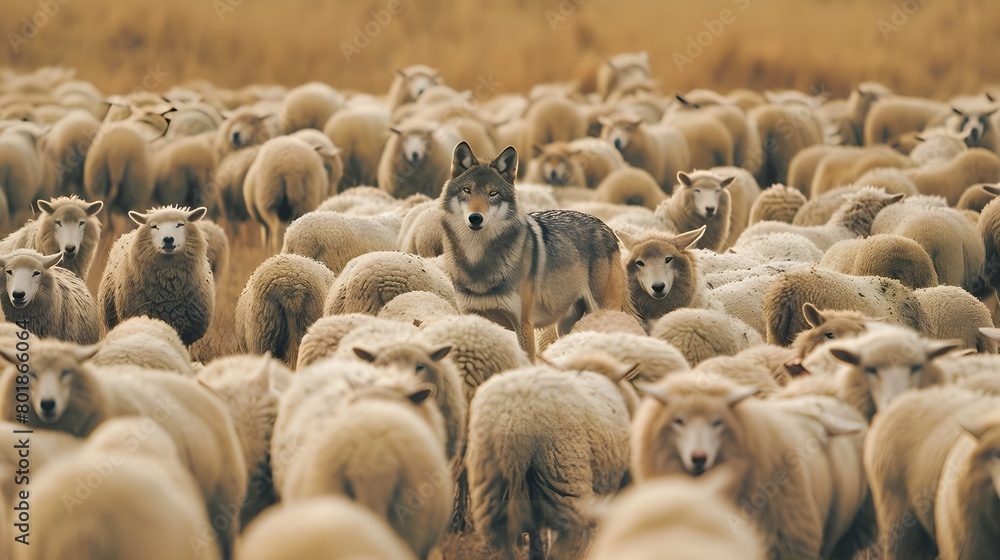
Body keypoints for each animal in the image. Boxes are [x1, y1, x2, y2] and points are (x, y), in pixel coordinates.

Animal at [439, 141, 632, 360]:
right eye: (467, 190)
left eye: (493, 193)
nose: (475, 218)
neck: (478, 261)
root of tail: (607, 227)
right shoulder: (472, 318)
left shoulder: (524, 325)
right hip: (566, 325)